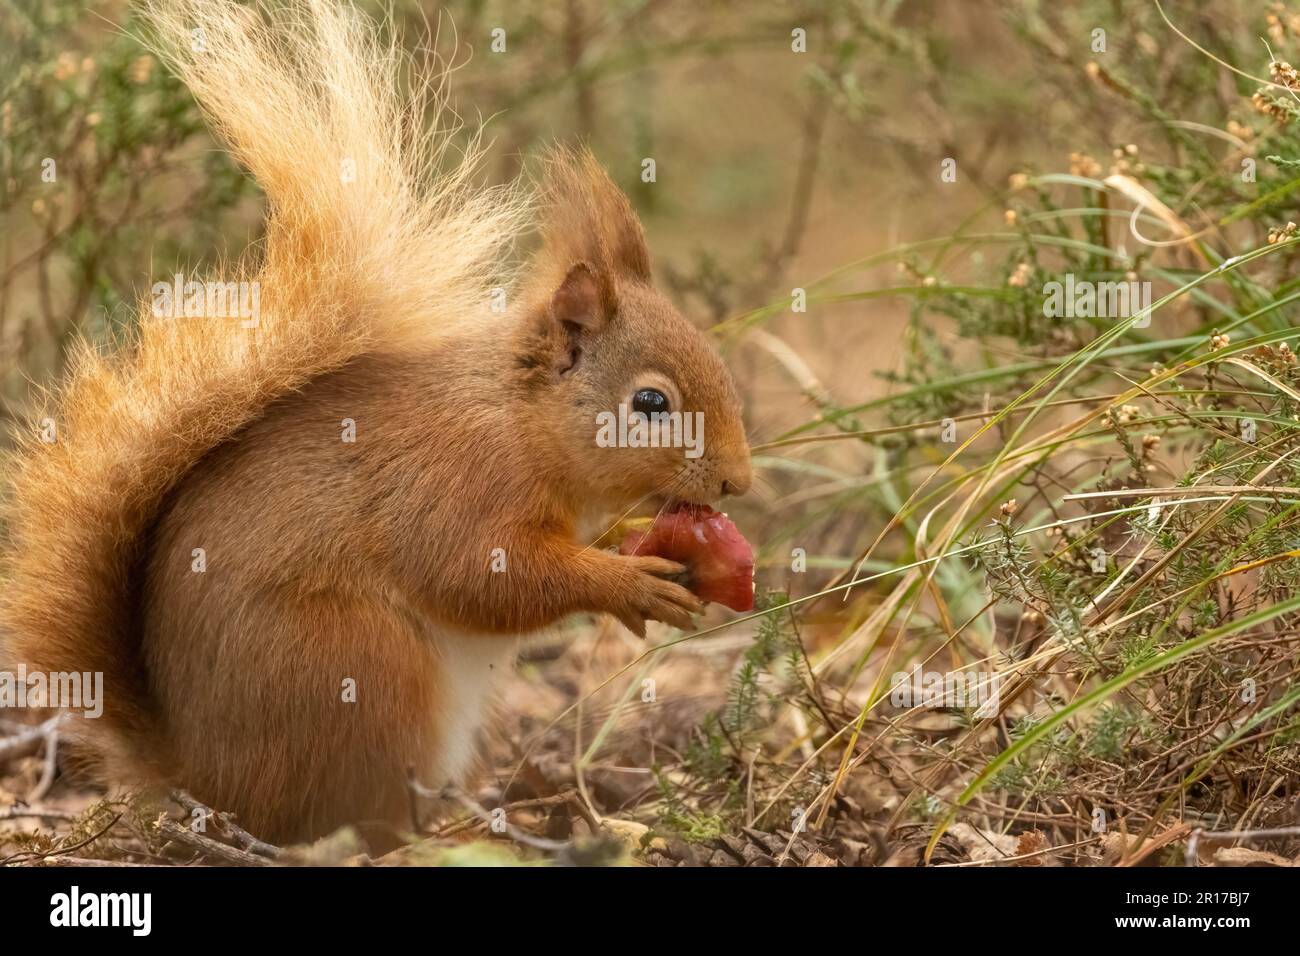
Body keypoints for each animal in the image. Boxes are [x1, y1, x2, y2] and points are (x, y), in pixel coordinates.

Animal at [1, 0, 751, 845]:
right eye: (651, 404)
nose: (739, 481)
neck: (525, 424)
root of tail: (201, 782)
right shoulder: (457, 479)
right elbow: (482, 575)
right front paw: (626, 582)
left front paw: (635, 541)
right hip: (359, 668)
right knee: (356, 820)